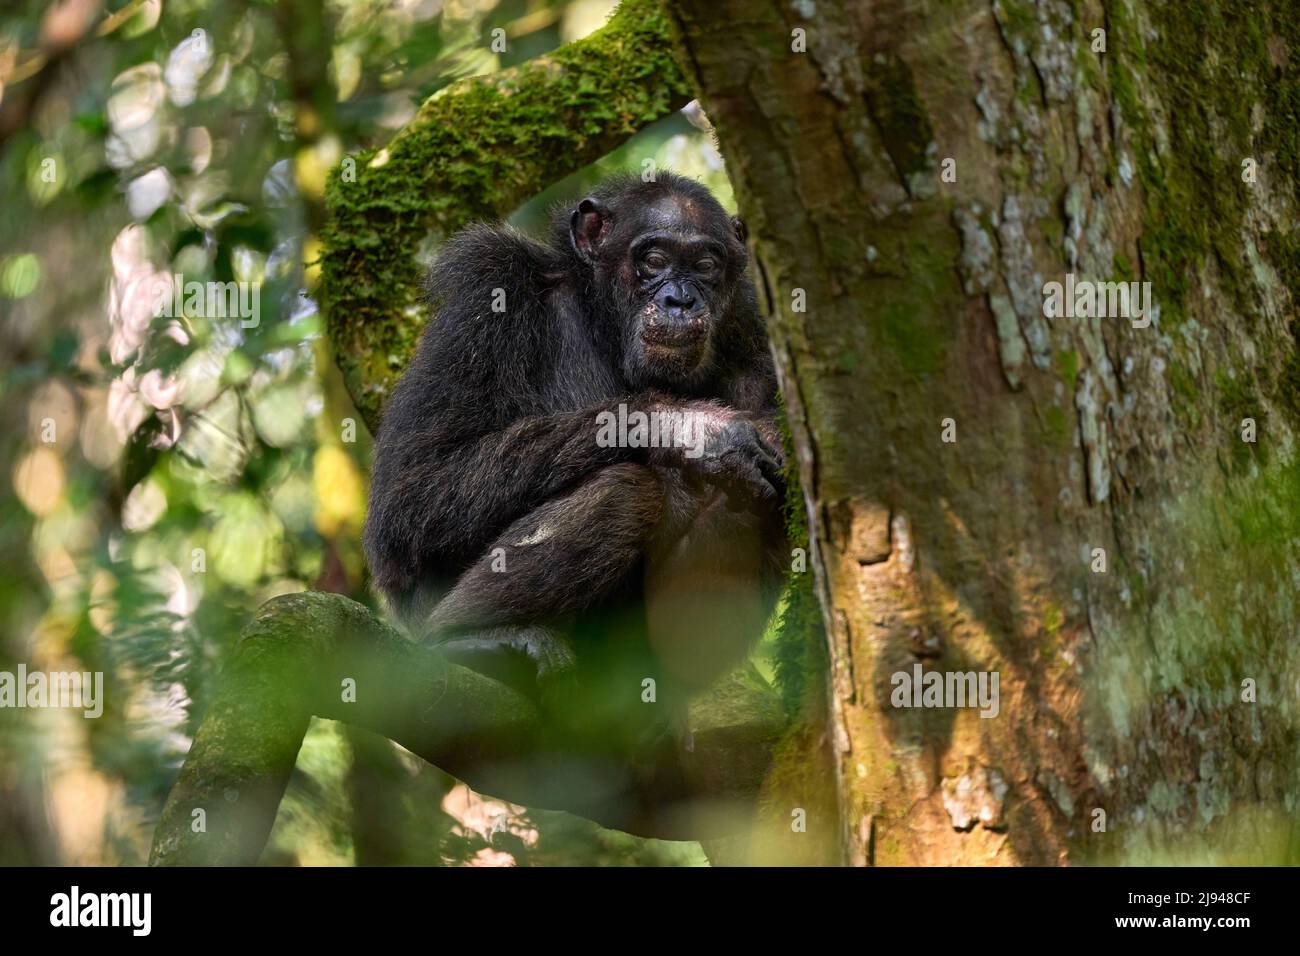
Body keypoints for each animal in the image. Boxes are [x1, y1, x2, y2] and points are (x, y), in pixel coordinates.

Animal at [363, 171, 788, 741]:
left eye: (705, 266)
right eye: (653, 259)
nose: (680, 300)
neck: (601, 320)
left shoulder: (751, 328)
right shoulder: (486, 290)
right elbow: (414, 490)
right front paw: (698, 429)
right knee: (627, 491)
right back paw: (469, 639)